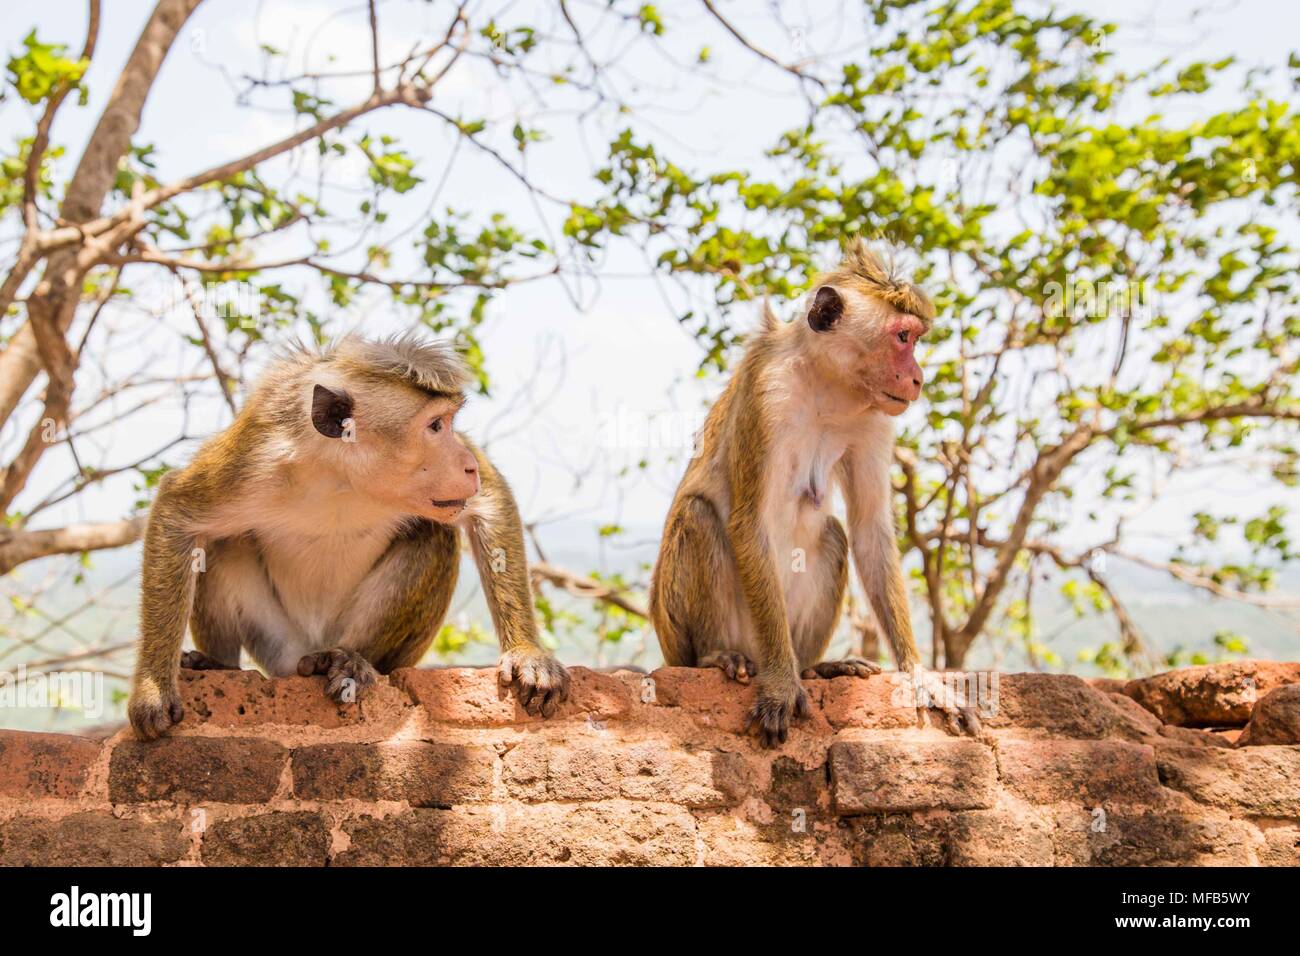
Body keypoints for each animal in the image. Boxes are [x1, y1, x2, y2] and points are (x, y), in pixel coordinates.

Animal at [127, 334, 570, 740]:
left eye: (448, 424)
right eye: (435, 426)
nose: (467, 466)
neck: (342, 476)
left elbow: (489, 498)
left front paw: (528, 654)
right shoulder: (255, 459)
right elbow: (178, 511)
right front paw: (152, 689)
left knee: (433, 535)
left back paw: (346, 660)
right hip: (276, 644)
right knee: (219, 543)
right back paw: (219, 663)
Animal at [649, 240, 979, 747]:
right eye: (903, 337)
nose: (918, 378)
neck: (827, 382)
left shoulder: (875, 417)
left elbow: (870, 530)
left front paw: (921, 676)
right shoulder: (768, 394)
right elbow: (749, 522)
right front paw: (782, 686)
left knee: (834, 535)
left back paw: (814, 667)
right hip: (694, 639)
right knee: (697, 515)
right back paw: (722, 657)